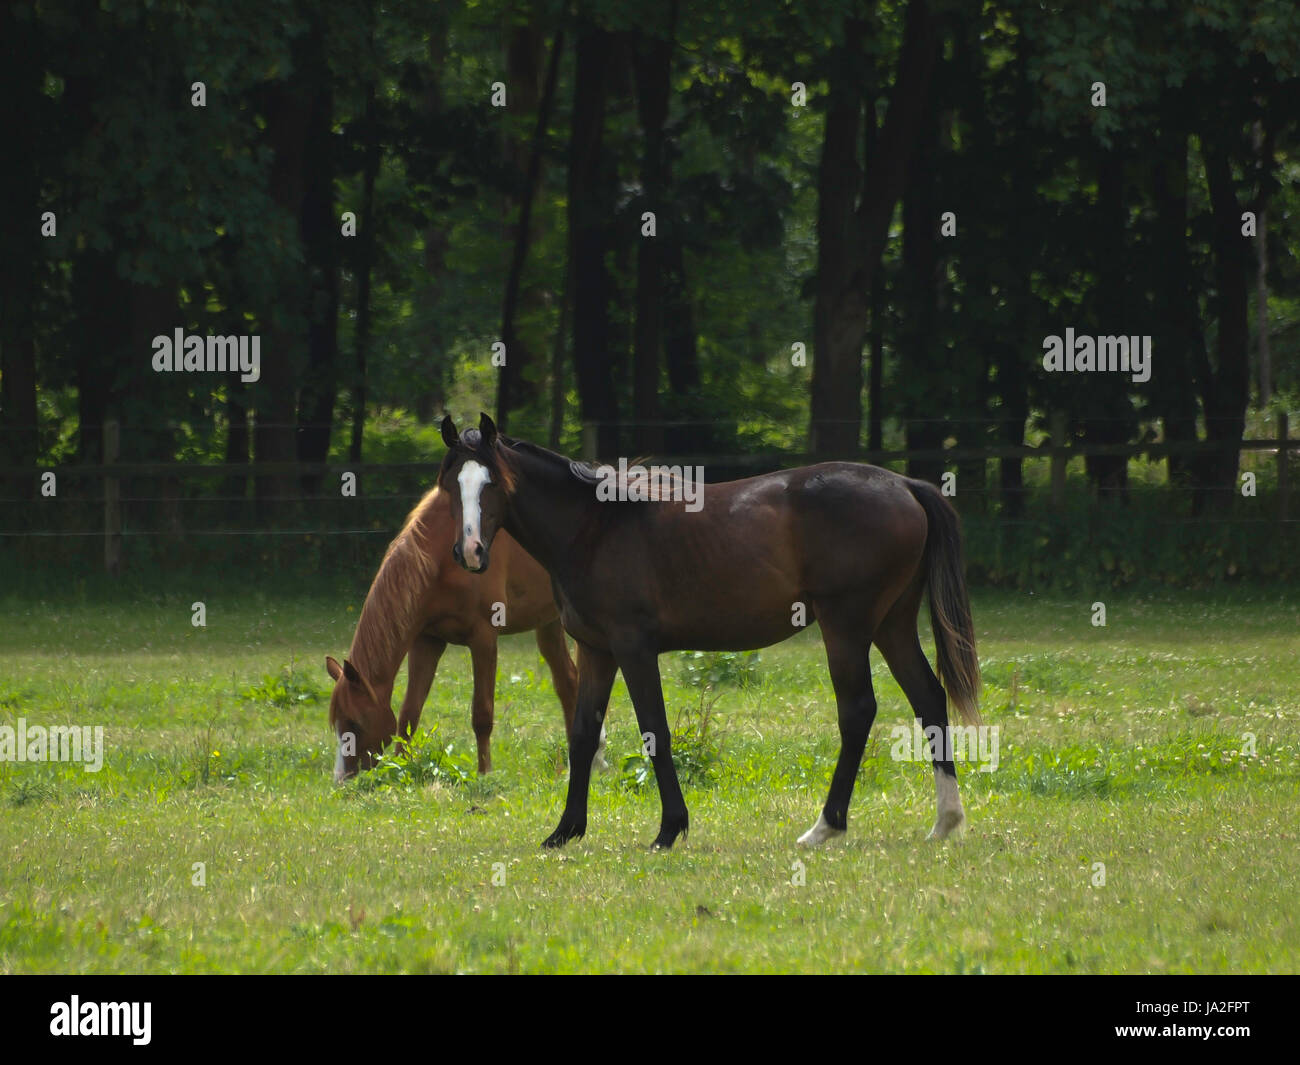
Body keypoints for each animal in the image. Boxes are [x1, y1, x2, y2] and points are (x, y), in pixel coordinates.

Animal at [326, 484, 607, 782]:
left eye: (354, 722)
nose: (340, 779)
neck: (440, 555)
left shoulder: (483, 639)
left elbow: (482, 715)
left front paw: (484, 774)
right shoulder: (427, 641)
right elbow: (409, 714)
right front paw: (401, 769)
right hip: (548, 622)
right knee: (569, 682)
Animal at [437, 413, 981, 851]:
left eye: (491, 484)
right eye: (449, 487)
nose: (470, 552)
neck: (596, 526)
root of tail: (905, 485)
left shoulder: (634, 649)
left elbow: (654, 730)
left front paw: (669, 829)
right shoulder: (595, 650)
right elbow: (583, 733)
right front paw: (565, 830)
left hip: (846, 627)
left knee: (858, 711)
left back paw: (824, 827)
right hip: (892, 624)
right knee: (928, 699)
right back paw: (945, 821)